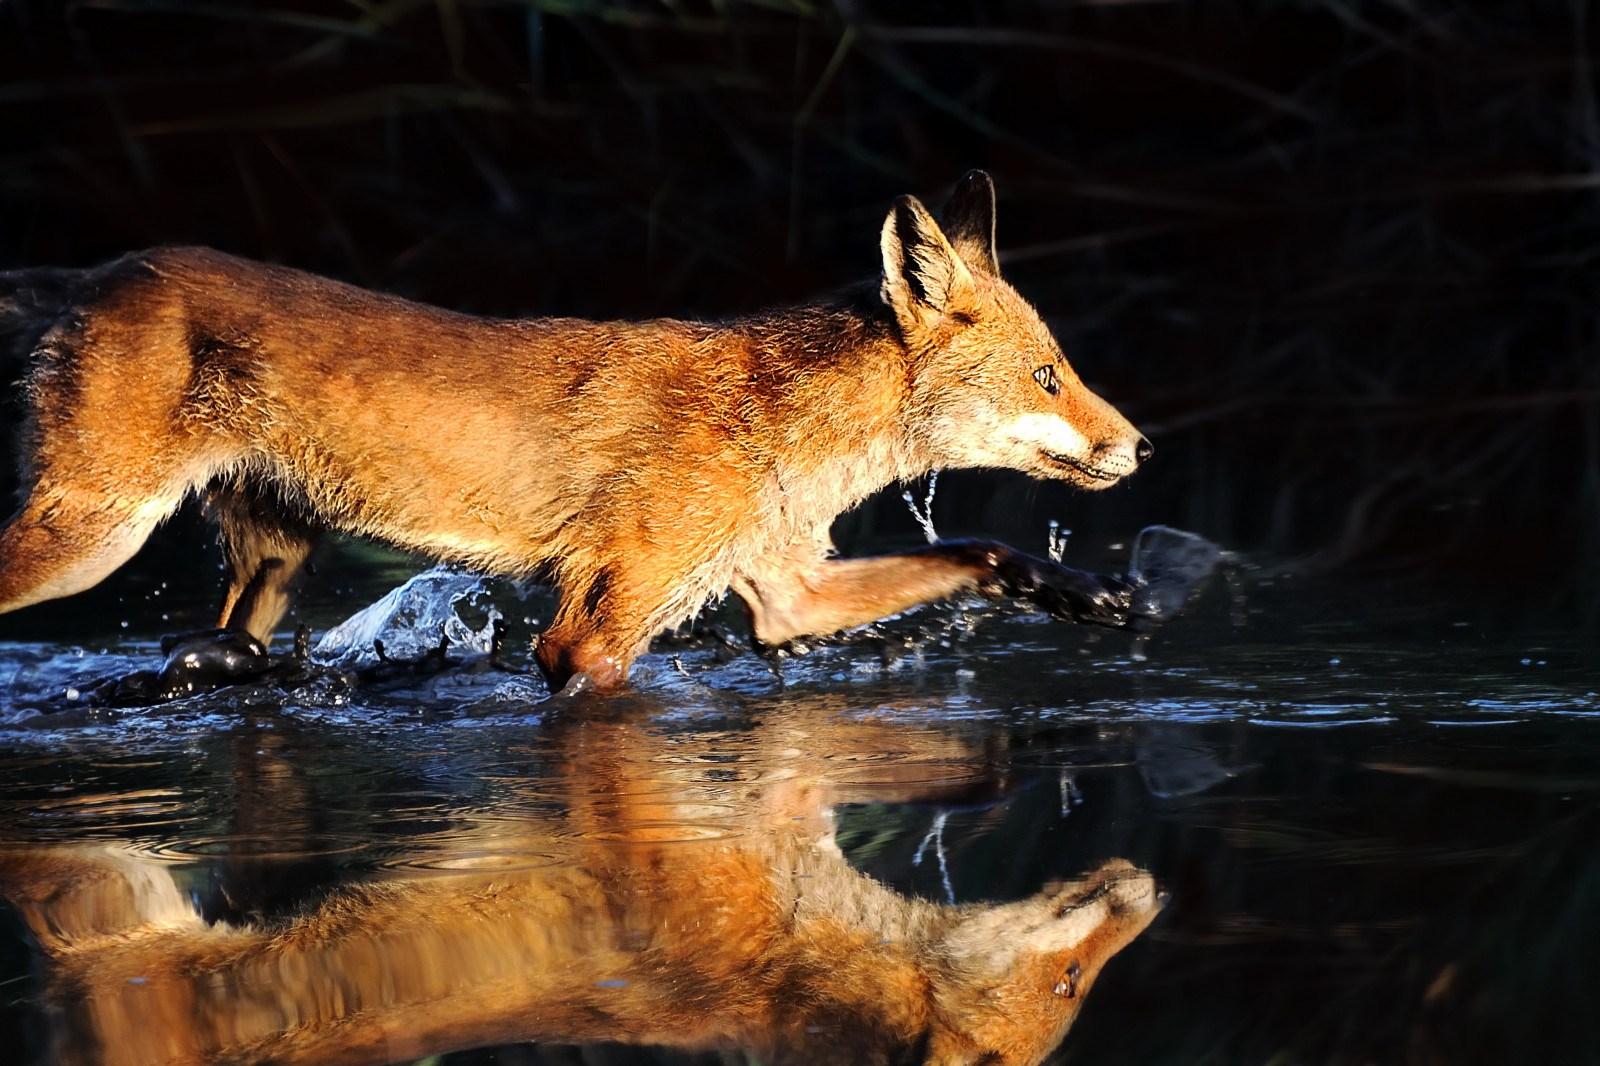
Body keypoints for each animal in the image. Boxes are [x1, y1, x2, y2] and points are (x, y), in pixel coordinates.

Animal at [0, 171, 1151, 692]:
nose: (1141, 447)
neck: (781, 429)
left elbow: (977, 549)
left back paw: (217, 665)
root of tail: (100, 272)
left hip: (276, 560)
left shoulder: (785, 593)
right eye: (1048, 375)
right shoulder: (596, 626)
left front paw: (1074, 590)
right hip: (92, 537)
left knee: (233, 643)